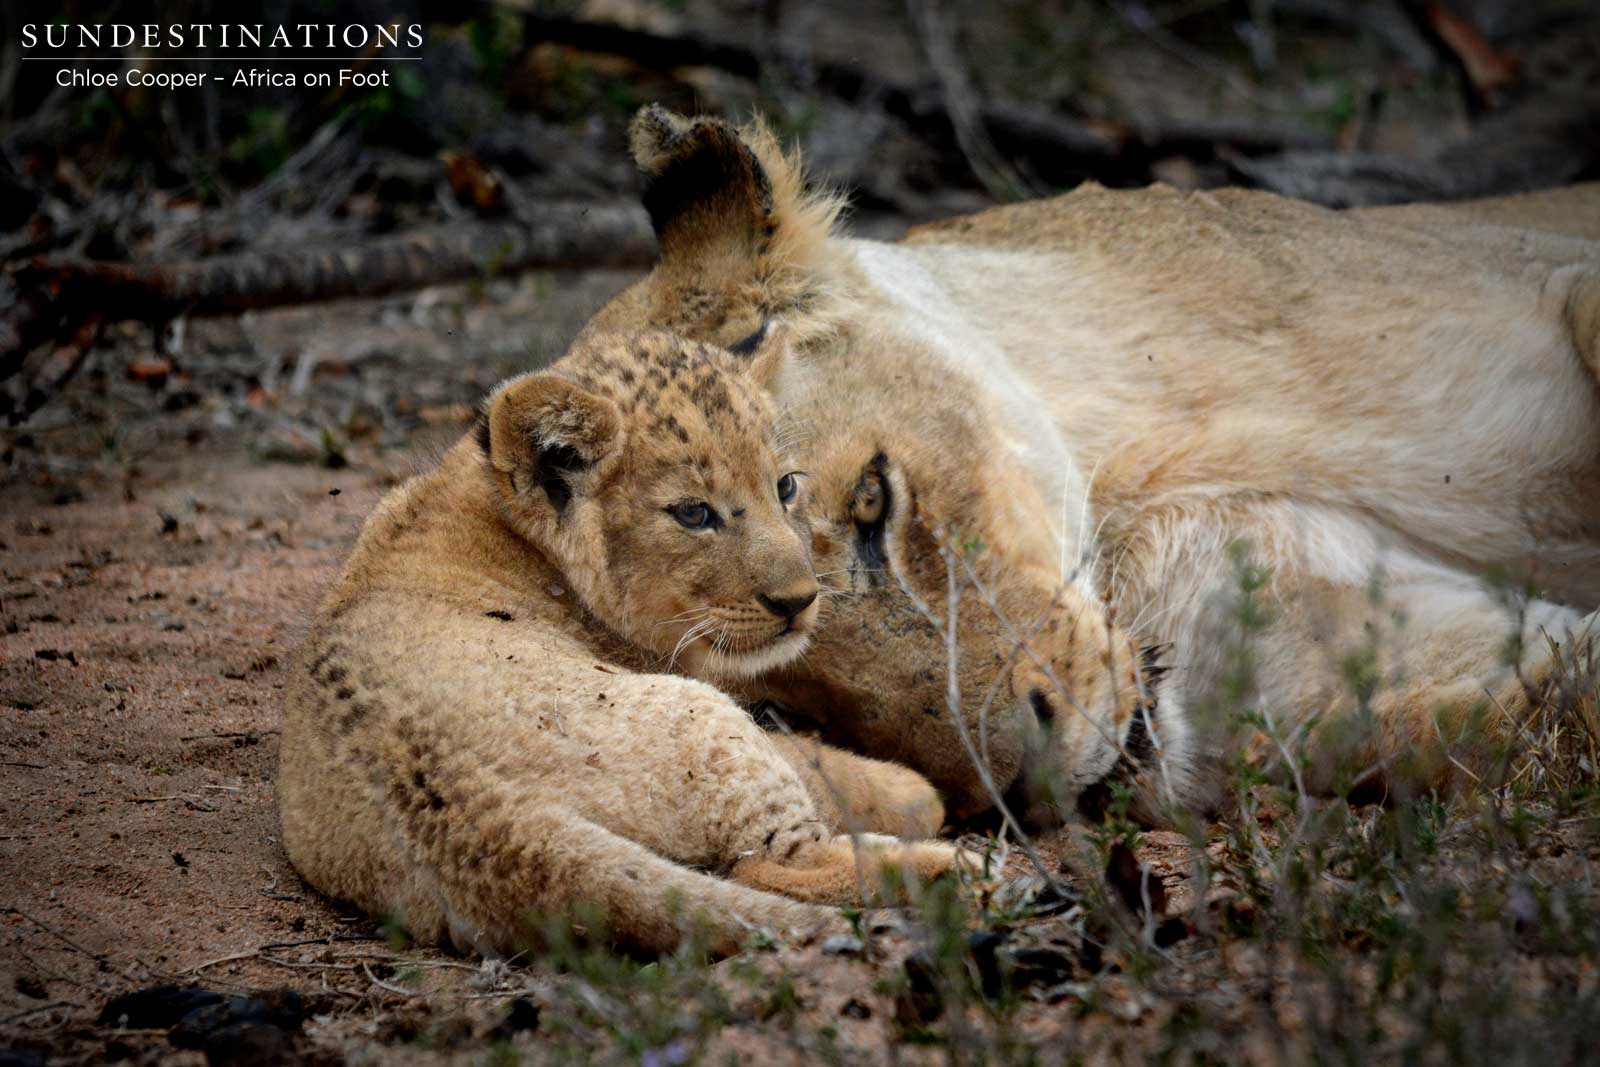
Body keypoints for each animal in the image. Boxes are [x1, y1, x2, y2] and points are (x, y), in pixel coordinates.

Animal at [277, 330, 962, 956]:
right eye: (693, 514)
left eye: (786, 486)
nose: (798, 602)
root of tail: (477, 816)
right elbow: (821, 764)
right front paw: (915, 791)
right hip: (700, 720)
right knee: (772, 864)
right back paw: (956, 870)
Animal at [576, 105, 1600, 821]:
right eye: (789, 712)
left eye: (870, 504)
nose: (1035, 781)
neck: (1145, 475)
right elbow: (1515, 711)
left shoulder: (1563, 280)